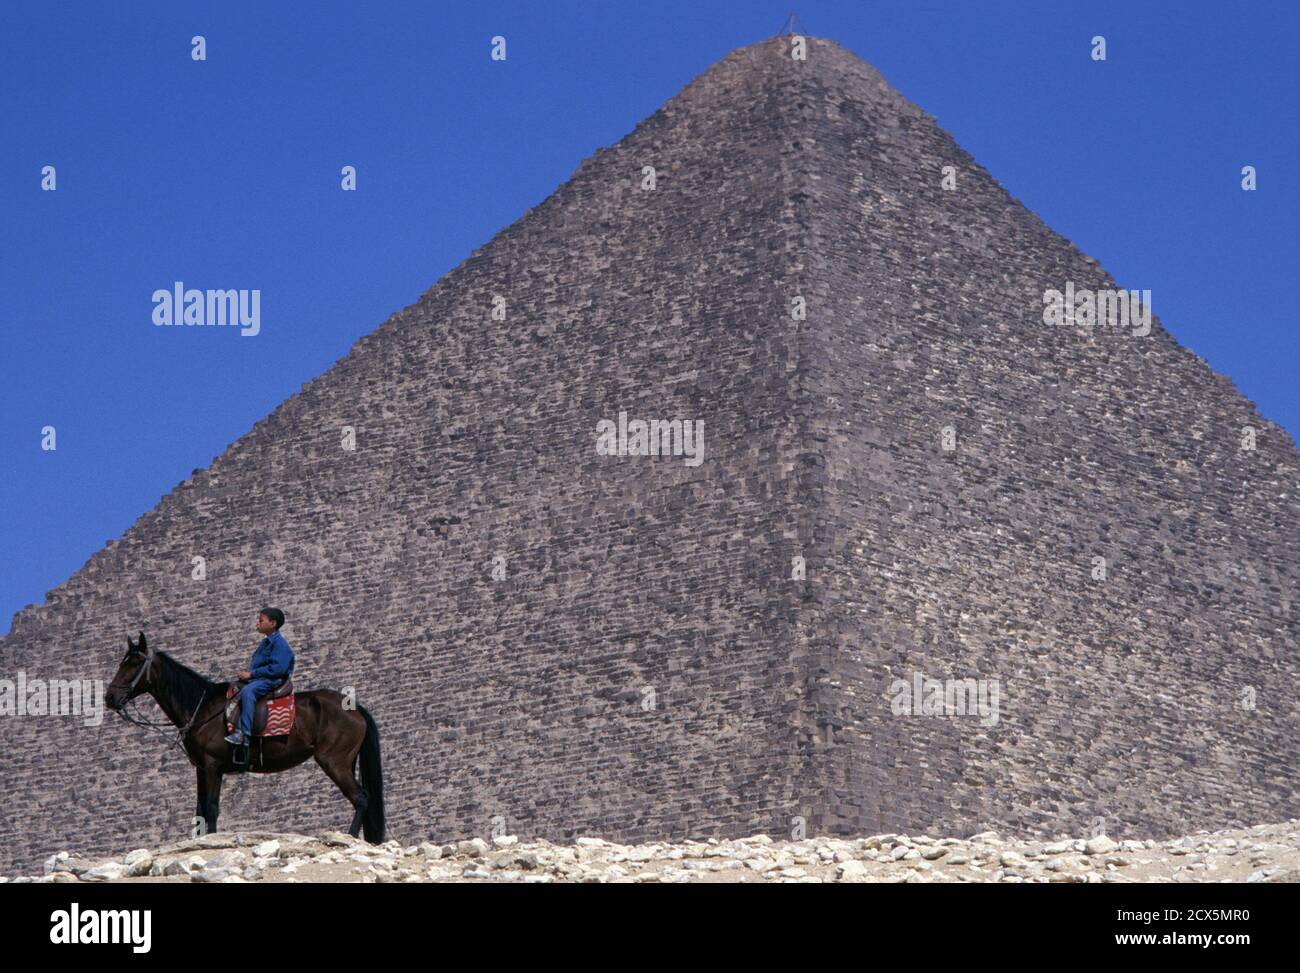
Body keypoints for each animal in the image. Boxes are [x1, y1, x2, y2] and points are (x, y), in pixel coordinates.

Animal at [104, 631, 384, 843]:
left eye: (133, 663)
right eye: (122, 662)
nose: (109, 698)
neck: (202, 707)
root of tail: (354, 707)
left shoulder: (213, 765)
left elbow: (211, 808)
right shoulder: (200, 768)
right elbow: (200, 810)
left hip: (333, 762)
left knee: (361, 798)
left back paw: (350, 837)